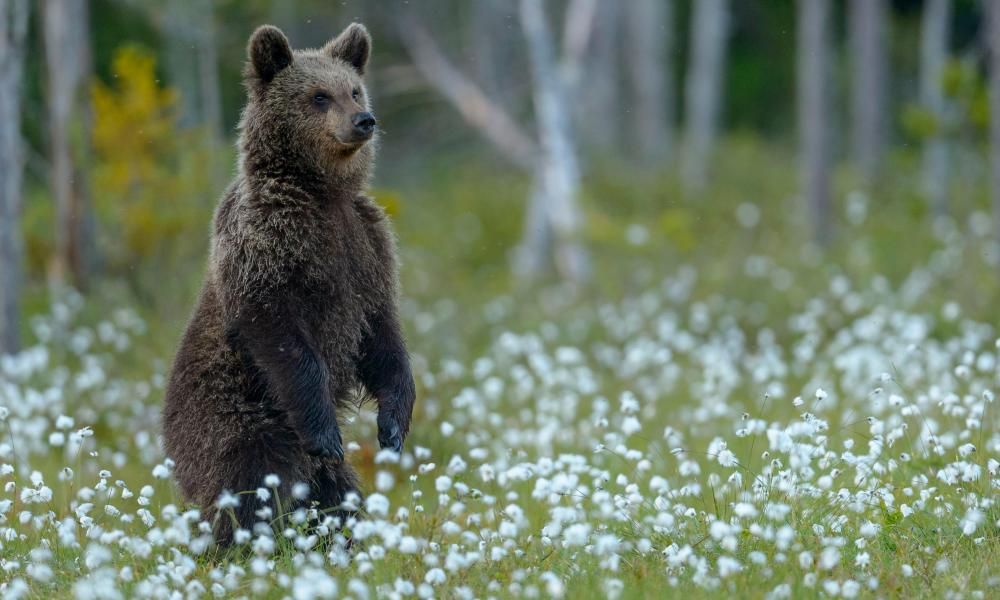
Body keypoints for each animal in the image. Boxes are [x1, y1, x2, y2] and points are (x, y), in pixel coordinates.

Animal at [162, 22, 415, 544]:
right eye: (319, 96)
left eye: (353, 89)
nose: (364, 120)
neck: (321, 193)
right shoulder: (269, 247)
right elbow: (282, 337)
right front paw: (327, 433)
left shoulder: (368, 249)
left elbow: (383, 335)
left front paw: (392, 429)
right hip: (241, 422)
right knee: (251, 484)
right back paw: (239, 543)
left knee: (335, 492)